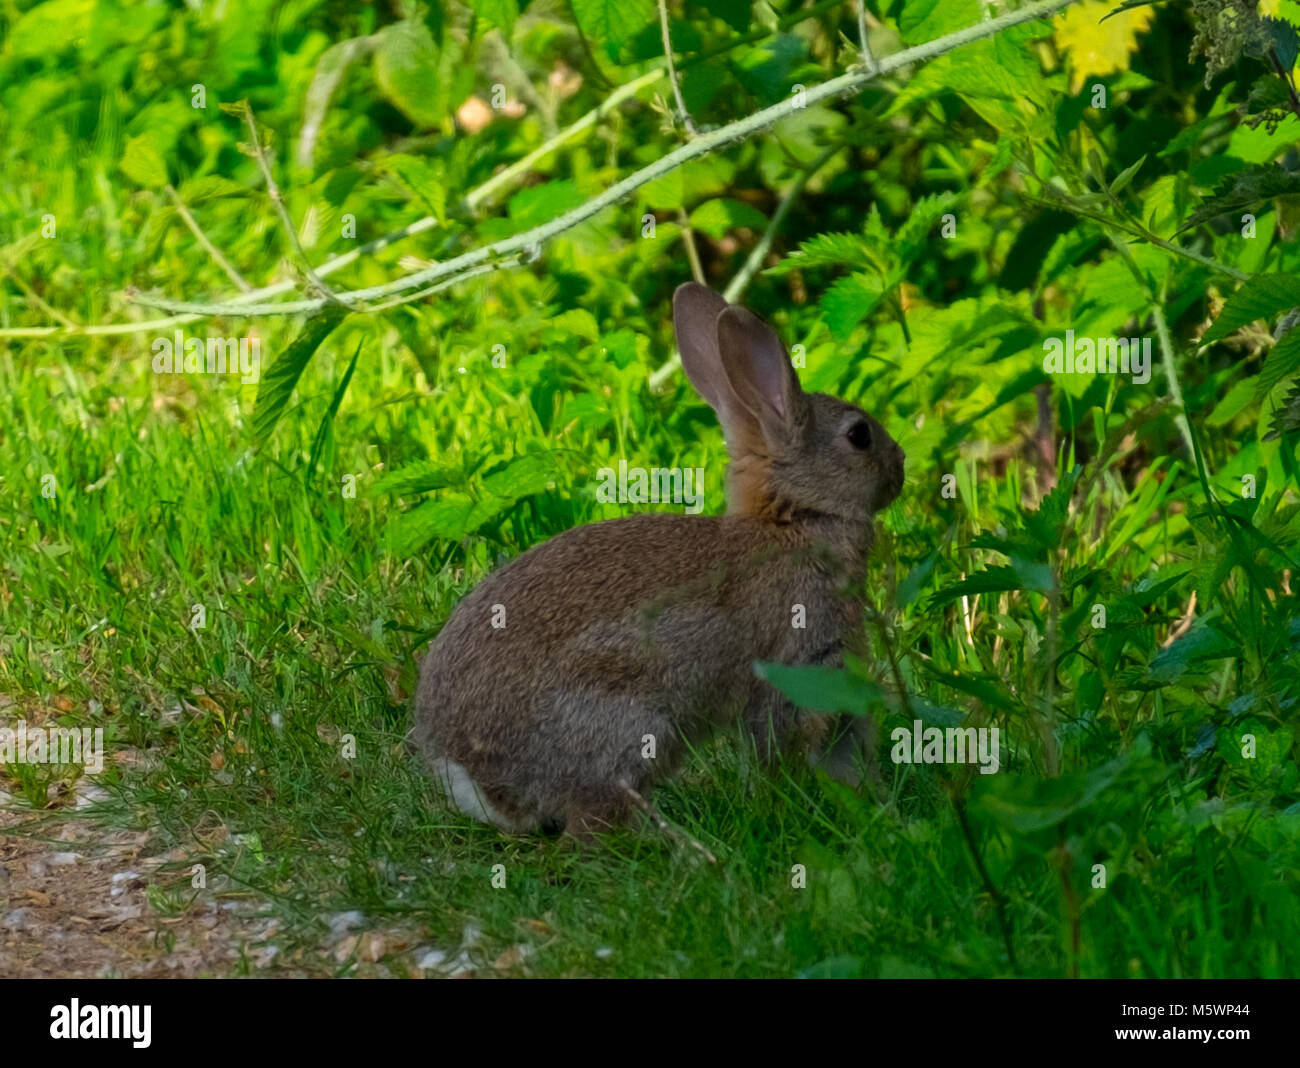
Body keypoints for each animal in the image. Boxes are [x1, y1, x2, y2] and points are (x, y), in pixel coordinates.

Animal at [412, 282, 904, 838]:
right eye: (859, 435)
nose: (901, 465)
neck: (794, 519)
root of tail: (477, 778)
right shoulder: (798, 664)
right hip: (625, 721)